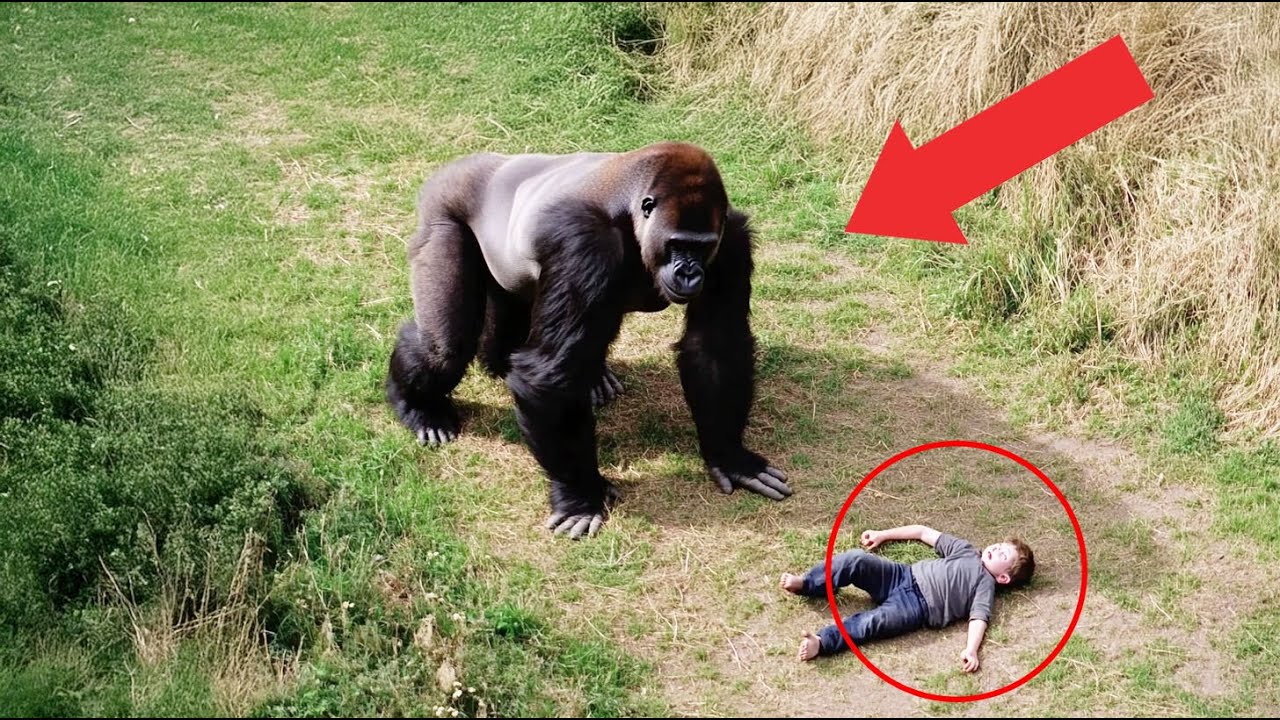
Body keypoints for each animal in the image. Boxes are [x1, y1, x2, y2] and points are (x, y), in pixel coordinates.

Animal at [387, 141, 790, 539]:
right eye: (678, 245)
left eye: (700, 248)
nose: (690, 274)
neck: (630, 210)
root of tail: (469, 164)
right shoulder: (587, 243)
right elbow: (549, 373)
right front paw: (579, 494)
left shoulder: (730, 239)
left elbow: (715, 348)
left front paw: (729, 454)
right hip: (444, 207)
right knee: (445, 348)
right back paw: (417, 406)